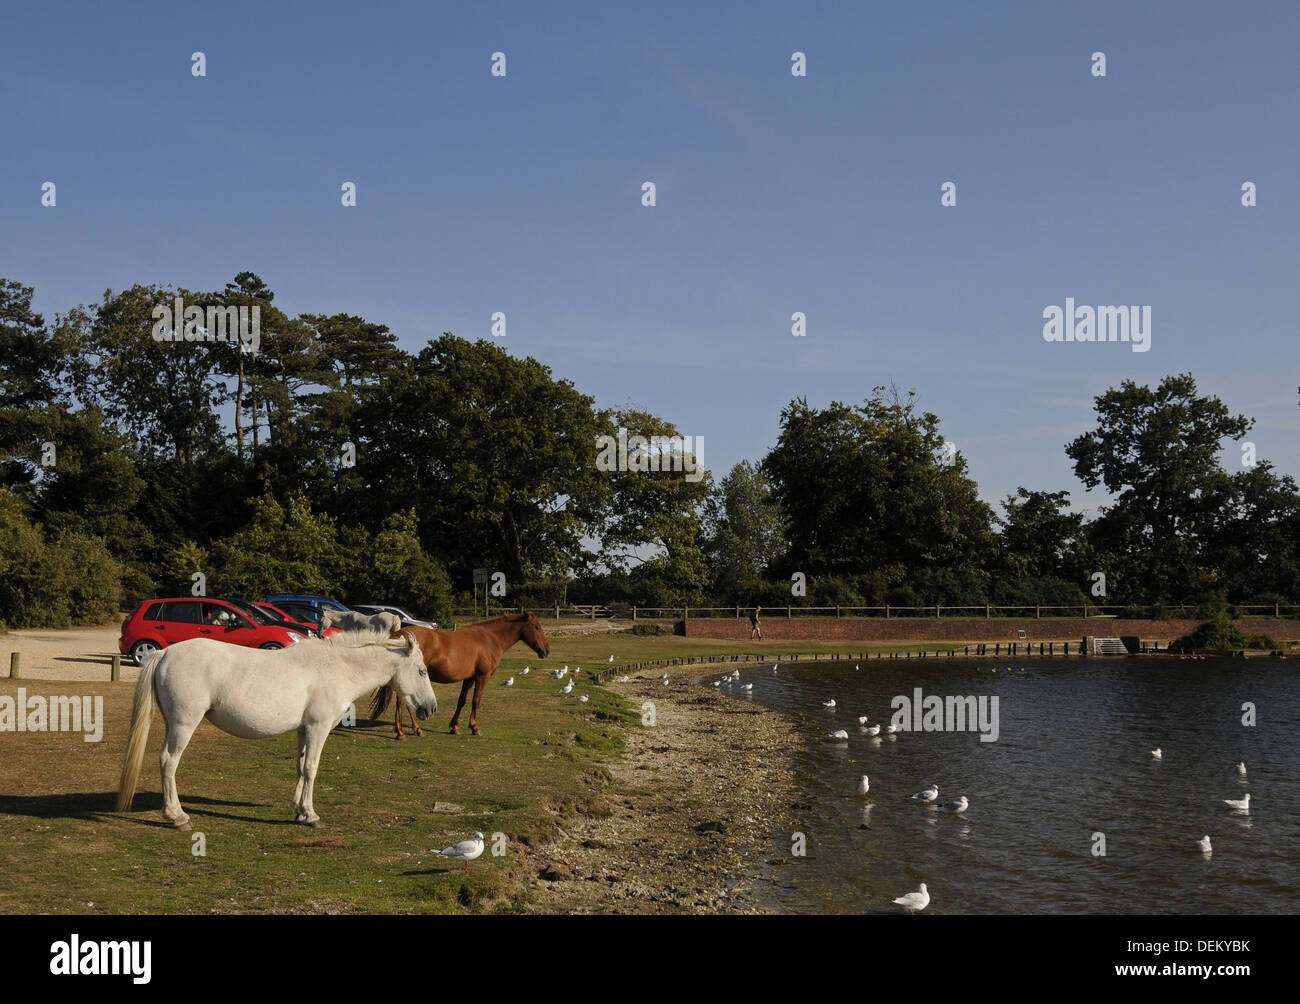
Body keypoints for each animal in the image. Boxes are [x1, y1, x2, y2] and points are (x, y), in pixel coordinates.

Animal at [116, 627, 436, 828]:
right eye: (421, 671)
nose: (431, 708)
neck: (336, 667)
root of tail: (165, 653)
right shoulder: (318, 728)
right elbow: (312, 769)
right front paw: (311, 815)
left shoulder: (304, 730)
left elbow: (300, 767)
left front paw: (299, 811)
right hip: (184, 724)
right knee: (169, 762)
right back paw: (177, 816)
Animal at [370, 611, 551, 738]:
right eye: (537, 627)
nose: (546, 651)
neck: (489, 639)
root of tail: (401, 634)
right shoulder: (482, 676)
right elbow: (476, 700)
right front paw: (475, 727)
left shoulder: (469, 678)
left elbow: (462, 701)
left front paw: (454, 727)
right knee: (402, 702)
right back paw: (402, 732)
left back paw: (415, 730)